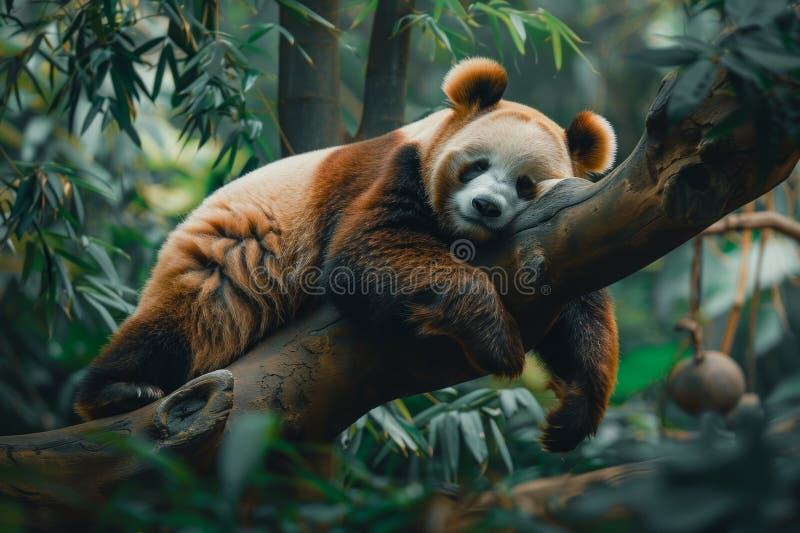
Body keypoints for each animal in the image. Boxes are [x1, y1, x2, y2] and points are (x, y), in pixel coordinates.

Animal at [74, 57, 619, 452]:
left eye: (525, 184)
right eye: (476, 165)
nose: (485, 206)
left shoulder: (556, 228)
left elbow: (577, 307)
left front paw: (571, 414)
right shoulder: (395, 168)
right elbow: (363, 255)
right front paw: (498, 341)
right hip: (222, 261)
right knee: (179, 324)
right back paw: (119, 391)